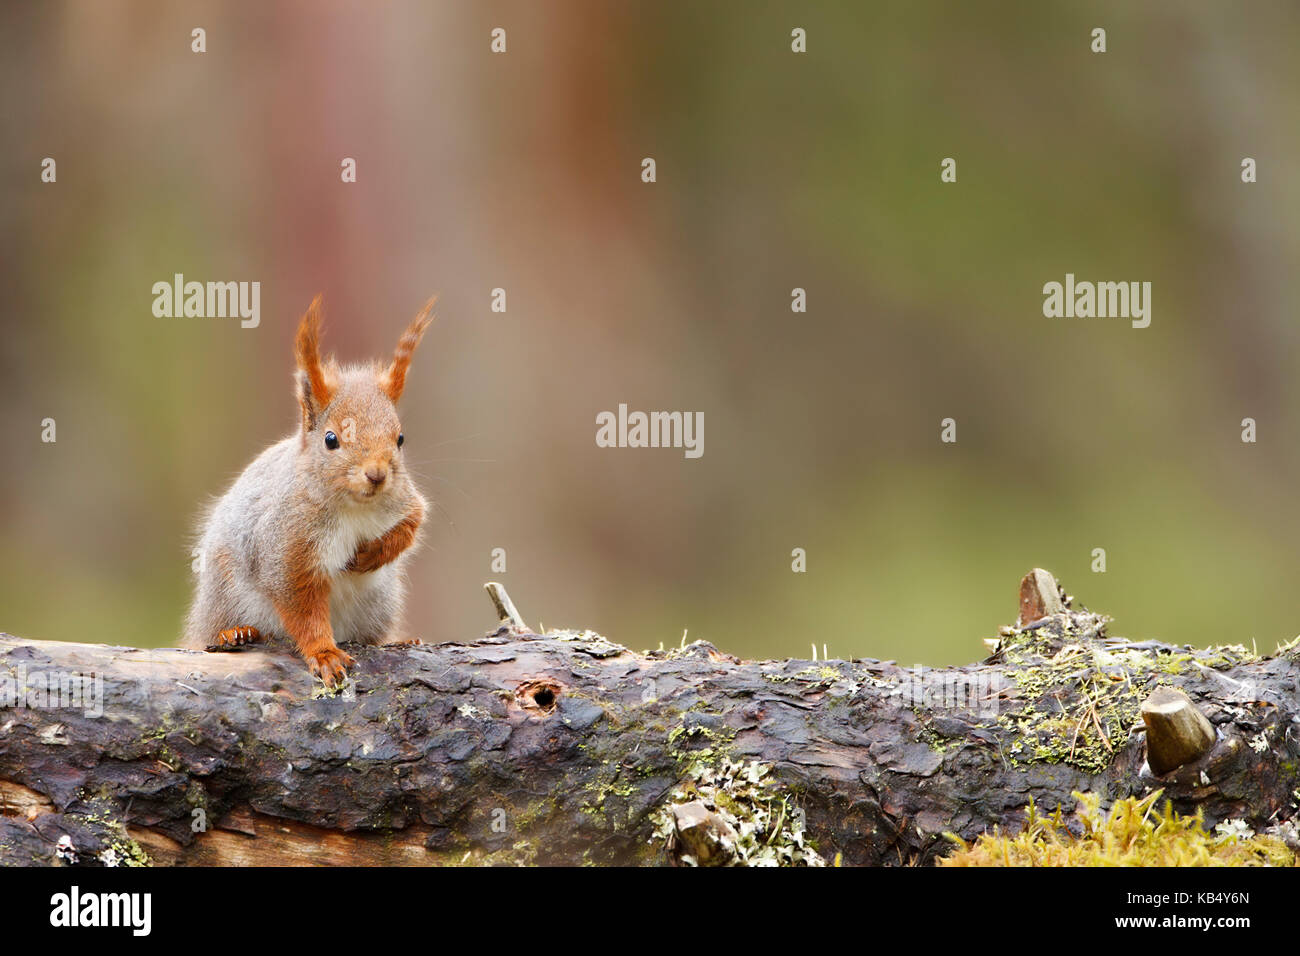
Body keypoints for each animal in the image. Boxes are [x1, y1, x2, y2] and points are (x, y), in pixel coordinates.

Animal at [182, 295, 435, 687]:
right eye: (331, 439)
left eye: (400, 438)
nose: (377, 475)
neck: (353, 506)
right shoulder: (286, 547)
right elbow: (301, 609)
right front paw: (324, 654)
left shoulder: (404, 500)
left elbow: (411, 525)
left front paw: (369, 555)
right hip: (224, 588)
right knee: (212, 630)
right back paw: (234, 633)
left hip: (380, 602)